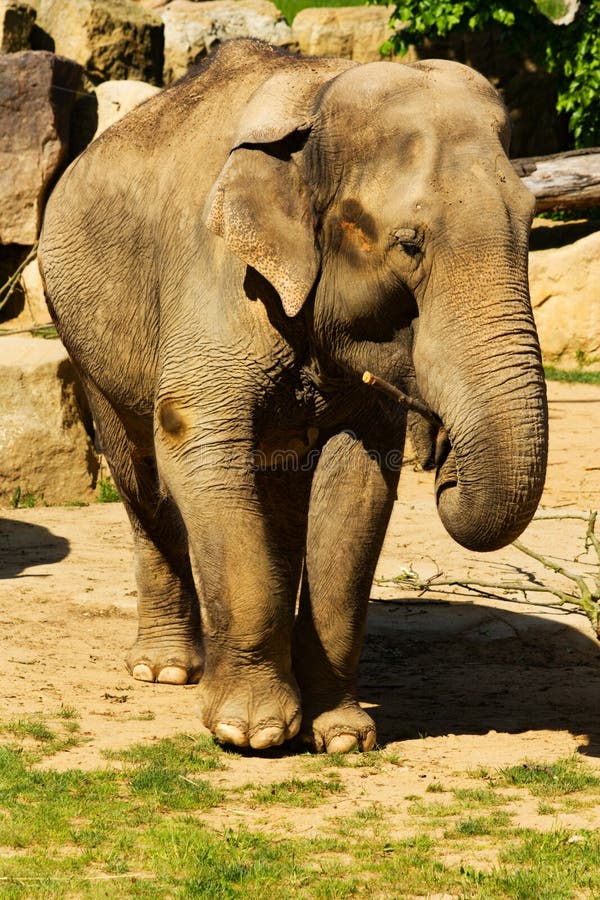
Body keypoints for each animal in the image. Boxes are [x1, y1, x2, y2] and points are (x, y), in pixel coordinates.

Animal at [39, 39, 548, 753]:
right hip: (84, 336)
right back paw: (166, 670)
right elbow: (195, 441)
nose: (445, 463)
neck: (317, 97)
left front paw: (341, 736)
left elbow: (357, 483)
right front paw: (250, 732)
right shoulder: (219, 281)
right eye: (409, 243)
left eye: (532, 225)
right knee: (139, 473)